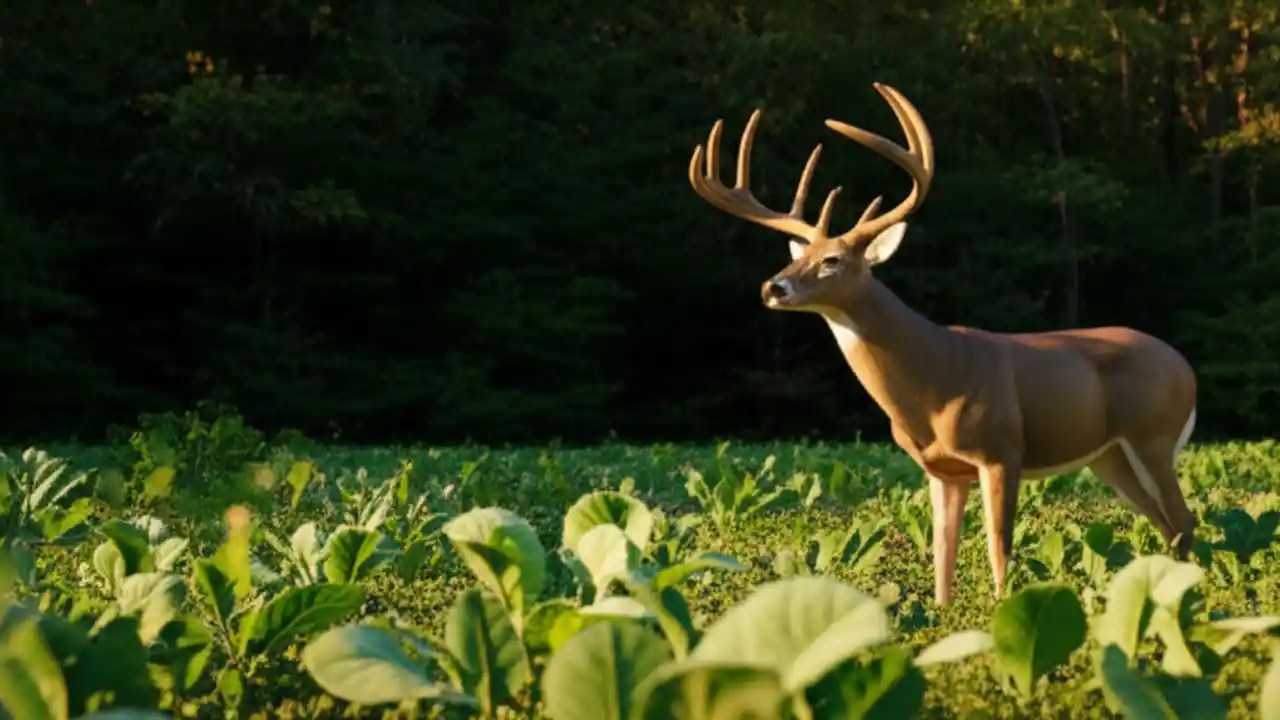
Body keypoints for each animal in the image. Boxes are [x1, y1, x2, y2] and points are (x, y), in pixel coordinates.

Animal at [687, 82, 1199, 606]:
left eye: (832, 260)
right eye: (797, 256)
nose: (773, 287)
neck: (934, 377)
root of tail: (1184, 366)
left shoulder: (1002, 449)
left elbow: (998, 546)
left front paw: (1002, 608)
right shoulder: (940, 469)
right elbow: (941, 553)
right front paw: (943, 613)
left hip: (1154, 434)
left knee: (1183, 518)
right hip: (1108, 456)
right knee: (1166, 523)